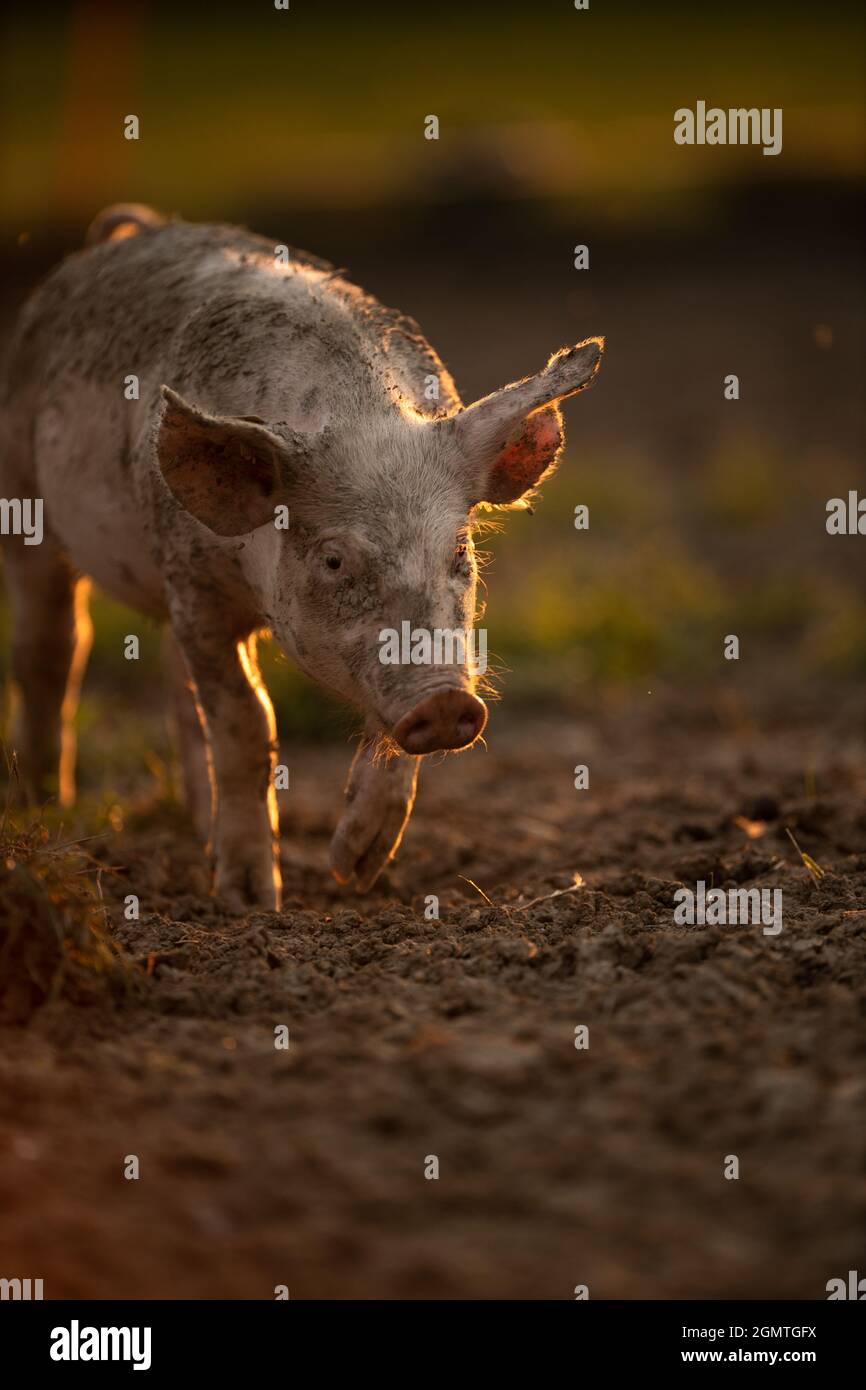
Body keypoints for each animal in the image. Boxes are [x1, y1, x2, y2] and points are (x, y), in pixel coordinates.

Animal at [0, 205, 603, 911]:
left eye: (459, 550)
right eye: (335, 561)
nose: (446, 703)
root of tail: (130, 230)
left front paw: (354, 871)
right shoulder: (196, 586)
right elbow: (247, 722)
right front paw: (251, 899)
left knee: (176, 684)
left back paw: (200, 830)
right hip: (24, 500)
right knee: (54, 647)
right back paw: (49, 805)